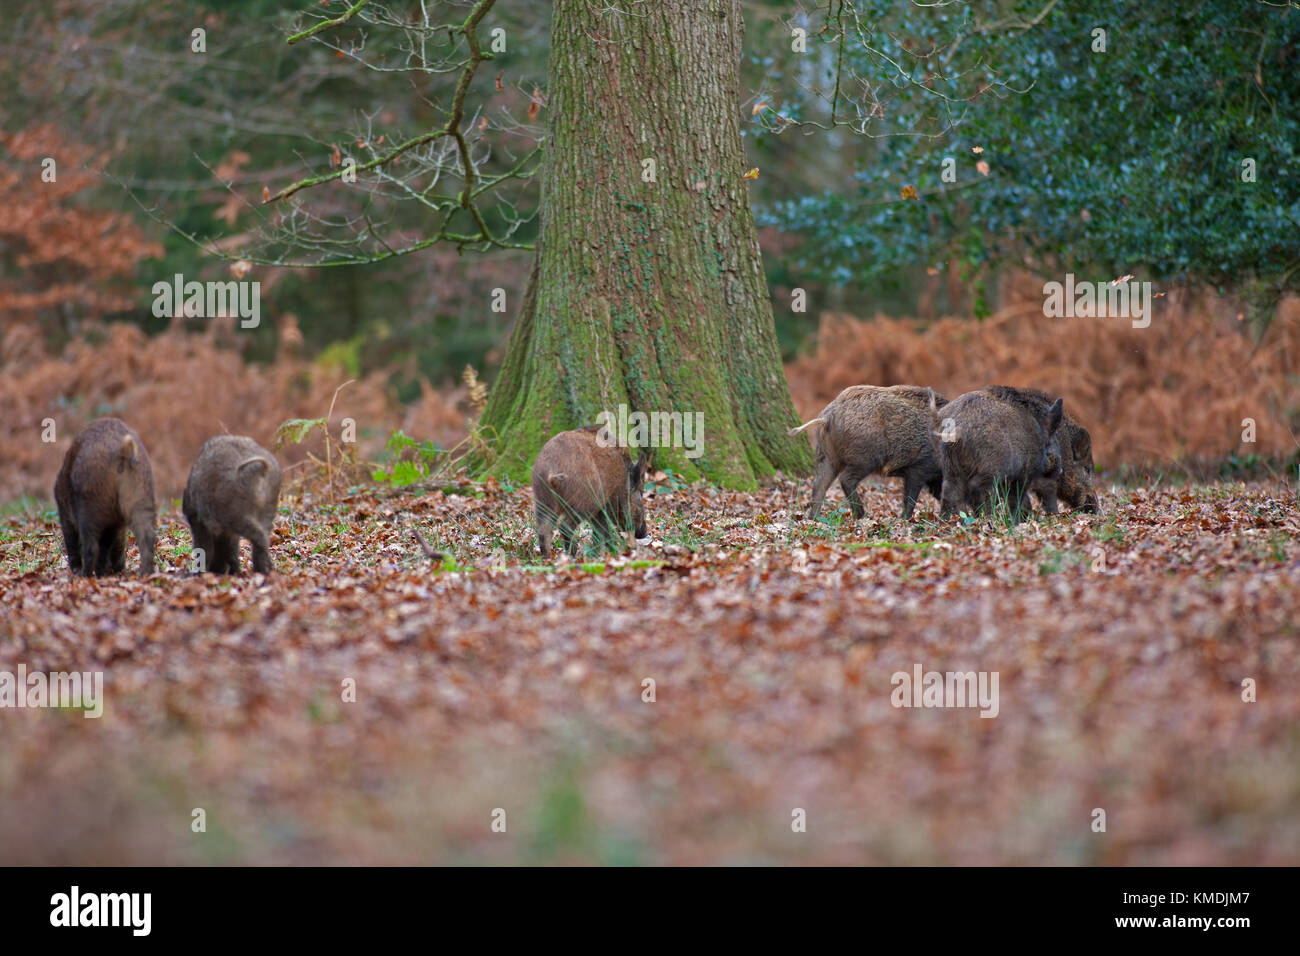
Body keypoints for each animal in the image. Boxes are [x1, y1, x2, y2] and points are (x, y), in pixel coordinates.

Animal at [53, 417, 157, 576]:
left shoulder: (66, 514)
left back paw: (85, 575)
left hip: (90, 507)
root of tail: (124, 448)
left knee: (90, 546)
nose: (120, 566)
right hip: (142, 496)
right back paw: (146, 574)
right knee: (147, 538)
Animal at [183, 435, 282, 574]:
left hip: (235, 514)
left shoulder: (199, 523)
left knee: (259, 536)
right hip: (268, 509)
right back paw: (264, 571)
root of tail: (262, 470)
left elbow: (204, 547)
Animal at [532, 426, 649, 559]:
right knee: (565, 527)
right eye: (641, 492)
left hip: (542, 499)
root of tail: (551, 472)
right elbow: (602, 531)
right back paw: (573, 555)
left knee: (544, 530)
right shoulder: (606, 505)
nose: (645, 532)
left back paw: (547, 558)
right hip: (583, 501)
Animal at [789, 384, 948, 520]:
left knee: (819, 485)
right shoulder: (919, 468)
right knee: (845, 479)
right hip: (866, 459)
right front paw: (904, 520)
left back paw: (814, 518)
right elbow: (911, 497)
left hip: (827, 456)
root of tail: (827, 417)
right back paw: (861, 515)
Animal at [933, 385, 1064, 521]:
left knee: (949, 492)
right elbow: (1016, 498)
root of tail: (957, 428)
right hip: (989, 469)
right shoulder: (1023, 474)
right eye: (1053, 439)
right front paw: (1017, 521)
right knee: (979, 490)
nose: (1055, 514)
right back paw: (989, 518)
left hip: (951, 467)